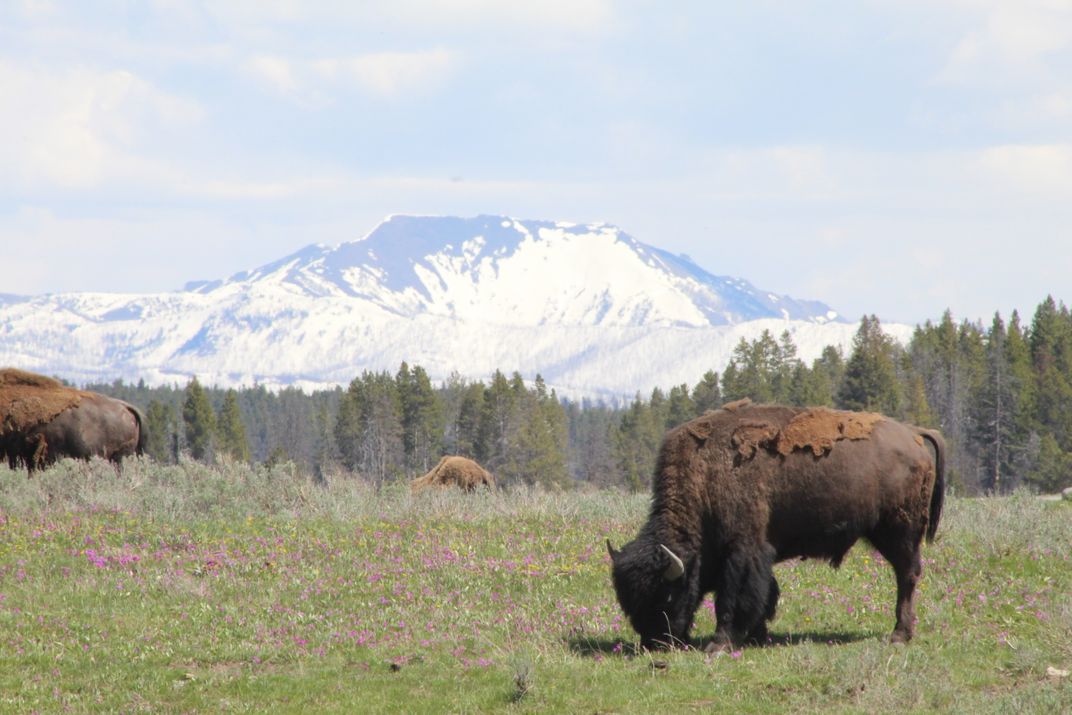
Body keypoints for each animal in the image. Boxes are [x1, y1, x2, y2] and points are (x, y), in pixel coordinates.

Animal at [607, 400, 944, 652]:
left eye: (666, 594)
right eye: (626, 600)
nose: (655, 643)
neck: (704, 477)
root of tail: (913, 433)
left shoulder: (743, 550)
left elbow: (733, 597)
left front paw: (720, 644)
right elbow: (764, 595)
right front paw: (756, 636)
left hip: (898, 531)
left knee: (907, 575)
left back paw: (899, 634)